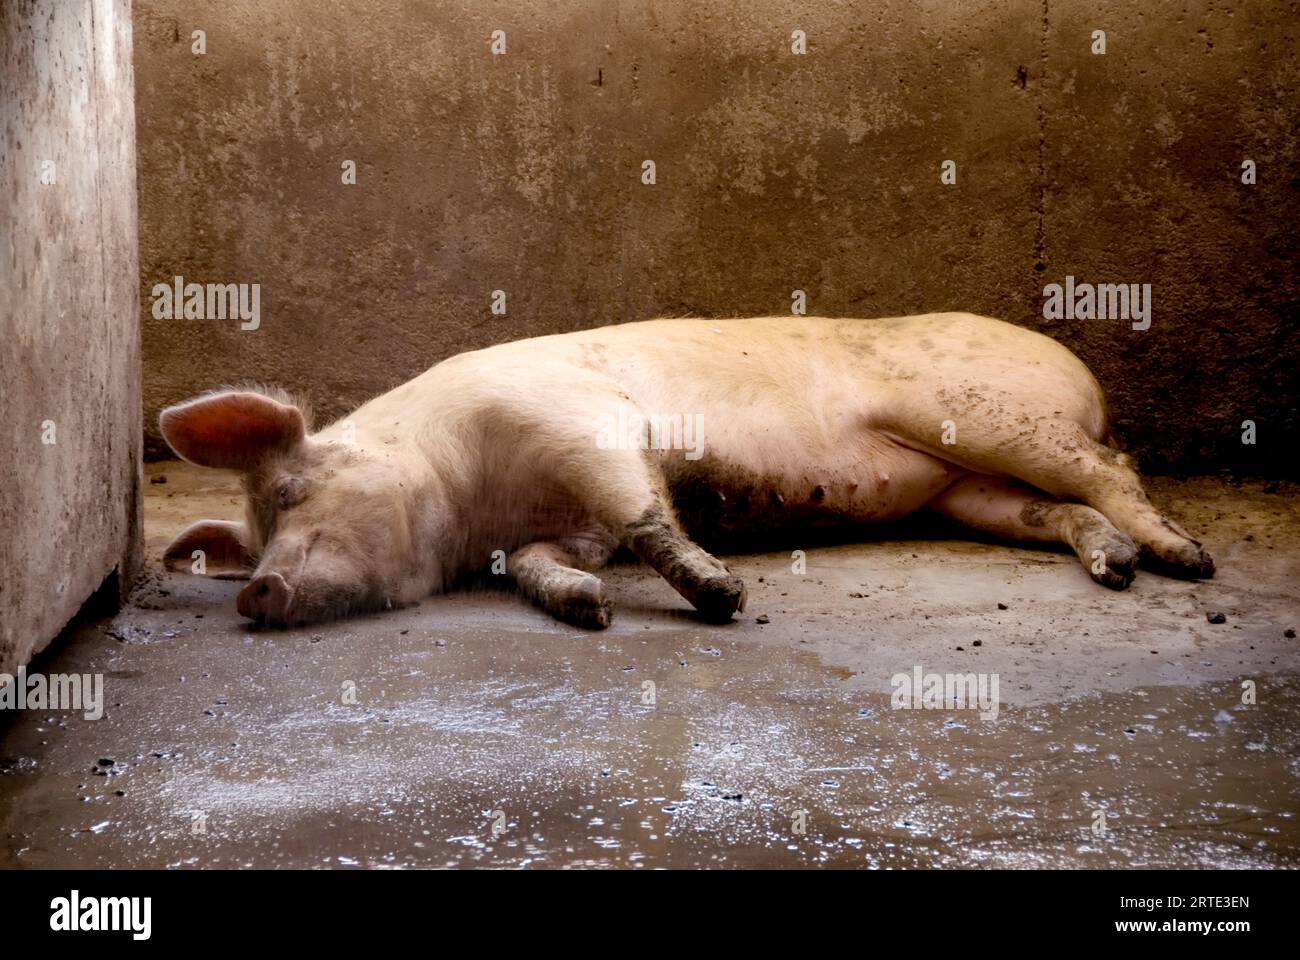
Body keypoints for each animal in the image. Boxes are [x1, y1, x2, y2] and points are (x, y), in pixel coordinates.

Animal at [160, 313, 1214, 629]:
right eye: (255, 530)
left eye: (290, 492)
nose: (255, 591)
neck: (472, 507)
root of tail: (1082, 376)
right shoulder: (557, 527)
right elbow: (547, 563)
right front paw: (589, 609)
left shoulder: (583, 427)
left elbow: (646, 515)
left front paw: (723, 596)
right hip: (968, 489)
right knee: (1058, 511)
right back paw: (1117, 570)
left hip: (993, 415)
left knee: (1111, 468)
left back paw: (1187, 561)